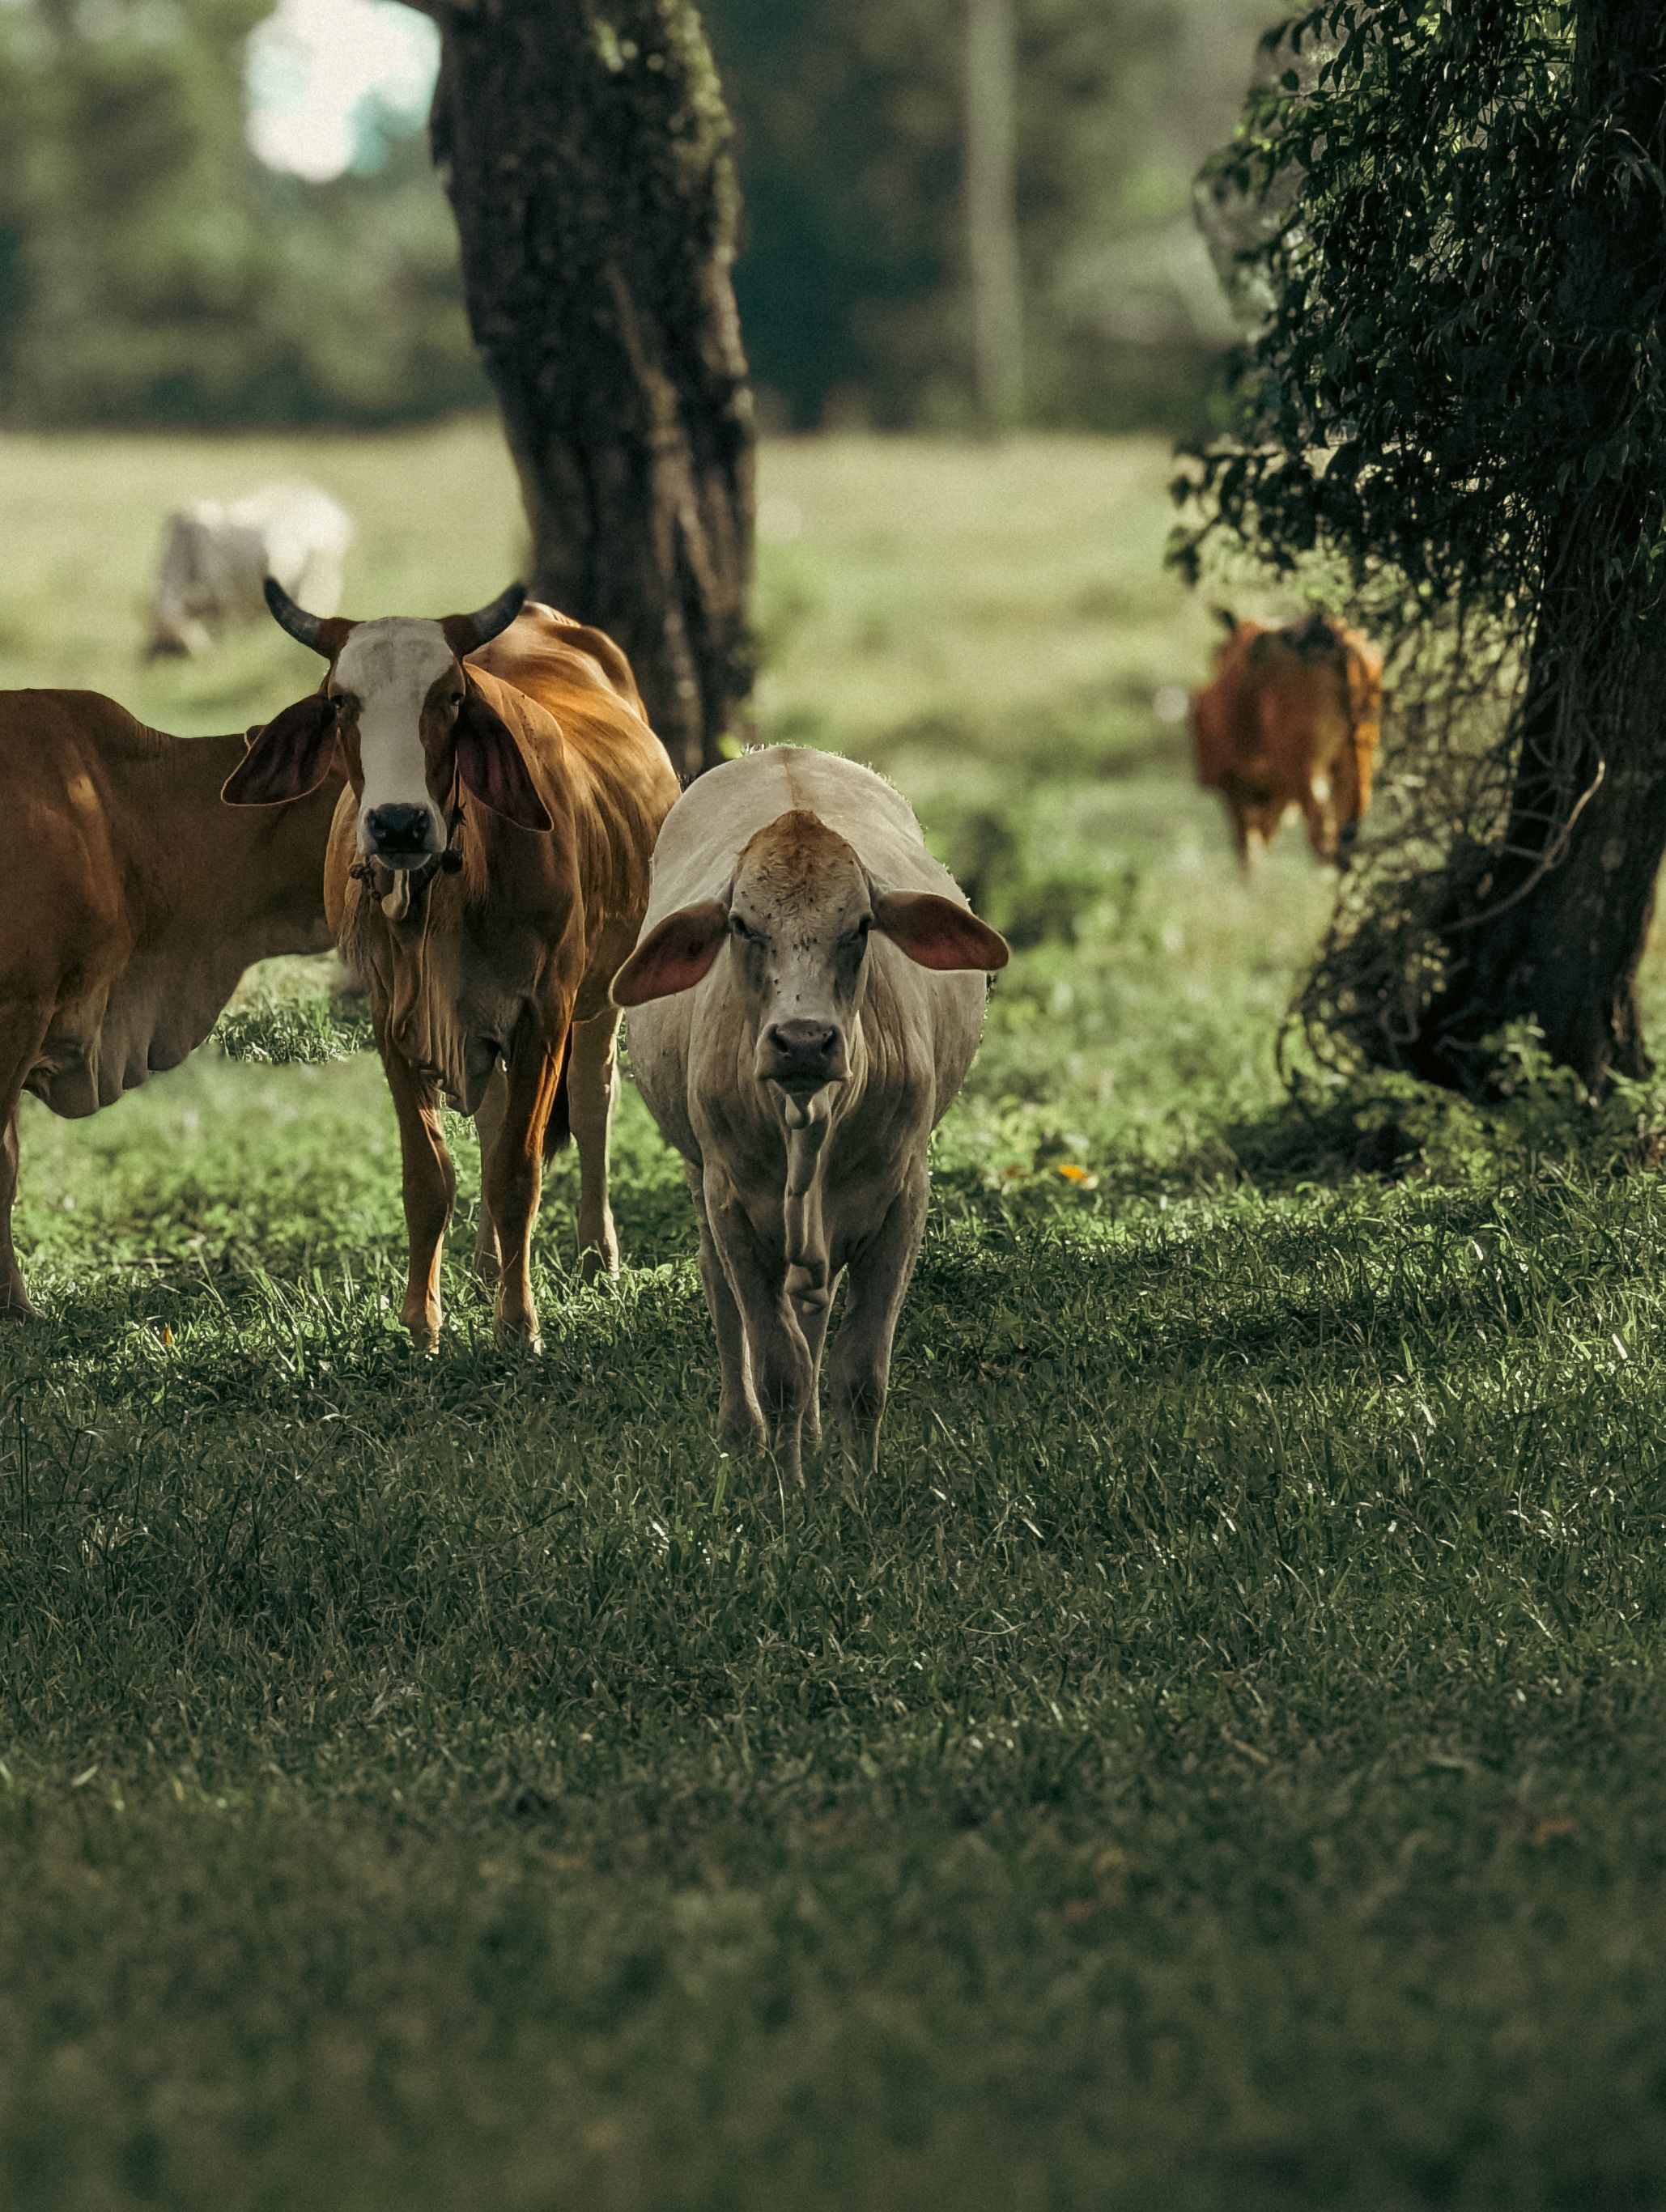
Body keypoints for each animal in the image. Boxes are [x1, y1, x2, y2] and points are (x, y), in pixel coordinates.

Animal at [222, 581, 680, 1355]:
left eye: (452, 697)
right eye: (340, 700)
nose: (398, 824)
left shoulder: (545, 1010)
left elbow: (519, 1170)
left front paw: (517, 1323)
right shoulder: (392, 1018)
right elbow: (429, 1176)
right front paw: (423, 1321)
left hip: (602, 995)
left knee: (592, 1103)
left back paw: (596, 1257)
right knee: (493, 1120)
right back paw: (486, 1265)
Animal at [610, 747, 1010, 1484]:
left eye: (861, 926)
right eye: (742, 925)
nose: (802, 1041)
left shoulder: (903, 1198)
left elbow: (860, 1372)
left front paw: (857, 1489)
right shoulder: (732, 1203)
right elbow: (779, 1369)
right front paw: (786, 1488)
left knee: (813, 1312)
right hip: (700, 1178)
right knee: (723, 1296)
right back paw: (741, 1433)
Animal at [1189, 610, 1382, 869]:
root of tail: (1334, 637)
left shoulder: (1236, 785)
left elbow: (1250, 853)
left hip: (1304, 771)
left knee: (1322, 842)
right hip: (1355, 763)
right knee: (1343, 839)